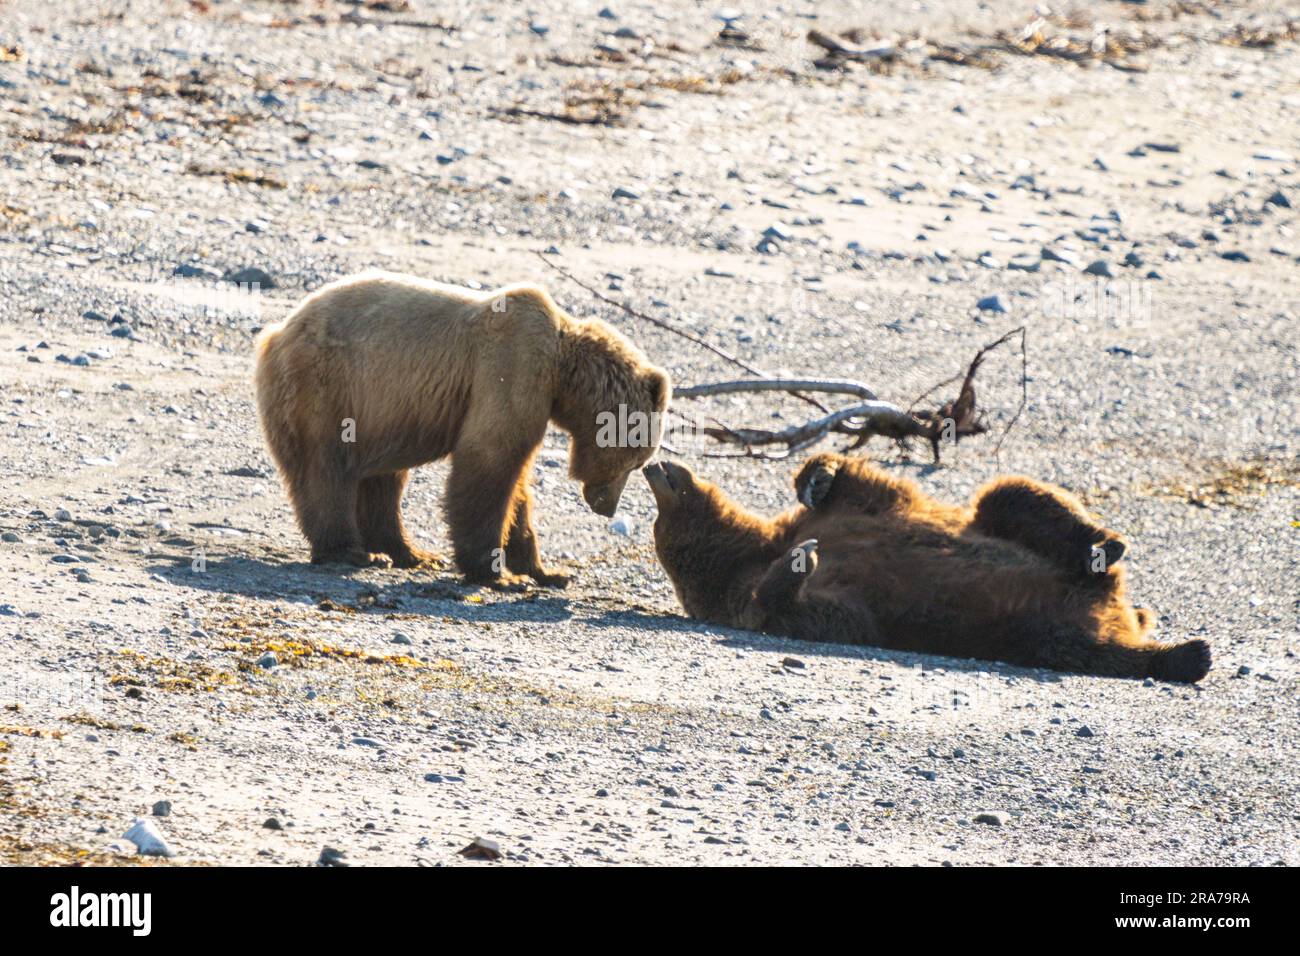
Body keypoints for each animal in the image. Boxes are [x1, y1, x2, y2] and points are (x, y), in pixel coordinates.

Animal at [254, 270, 670, 586]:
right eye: (637, 461)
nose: (606, 507)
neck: (563, 370)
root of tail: (274, 334)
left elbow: (518, 486)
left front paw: (546, 571)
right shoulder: (511, 367)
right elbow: (489, 462)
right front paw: (499, 574)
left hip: (381, 411)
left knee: (382, 479)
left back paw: (409, 551)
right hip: (327, 386)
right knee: (326, 469)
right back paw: (353, 552)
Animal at [642, 458, 1210, 683]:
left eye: (663, 507)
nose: (655, 466)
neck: (752, 550)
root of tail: (1120, 609)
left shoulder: (856, 511)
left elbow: (862, 482)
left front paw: (818, 478)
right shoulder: (765, 596)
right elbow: (818, 615)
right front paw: (802, 560)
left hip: (1015, 536)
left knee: (1010, 495)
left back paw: (1103, 547)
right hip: (1030, 628)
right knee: (1076, 647)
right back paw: (1186, 654)